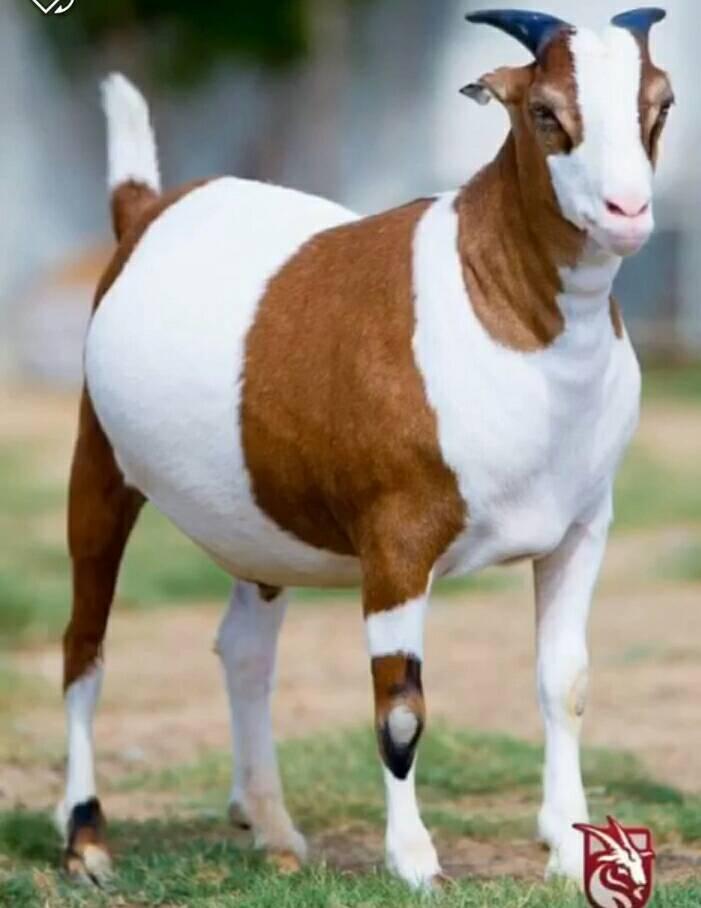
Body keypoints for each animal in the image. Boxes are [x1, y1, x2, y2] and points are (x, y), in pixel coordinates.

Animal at [56, 7, 673, 890]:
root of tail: (145, 210)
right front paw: (414, 862)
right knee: (84, 646)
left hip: (260, 515)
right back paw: (85, 839)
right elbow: (400, 708)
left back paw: (271, 825)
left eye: (658, 106)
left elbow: (566, 683)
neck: (497, 294)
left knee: (243, 651)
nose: (626, 211)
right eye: (544, 111)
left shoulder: (582, 527)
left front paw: (567, 841)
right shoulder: (396, 540)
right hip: (100, 461)